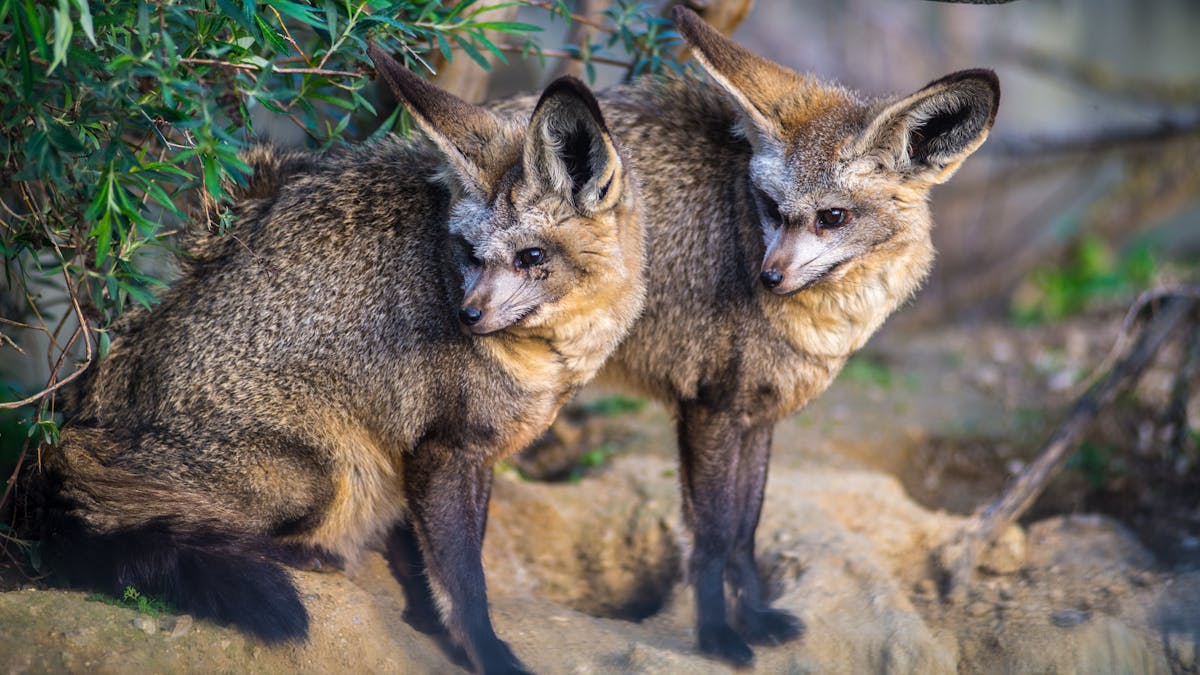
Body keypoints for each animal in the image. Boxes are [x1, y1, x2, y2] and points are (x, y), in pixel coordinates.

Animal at [32, 52, 644, 674]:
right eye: (471, 254)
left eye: (532, 257)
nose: (467, 316)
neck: (551, 360)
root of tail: (67, 439)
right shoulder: (441, 451)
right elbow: (465, 584)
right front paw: (488, 653)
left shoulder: (476, 452)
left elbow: (444, 564)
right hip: (325, 474)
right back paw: (310, 554)